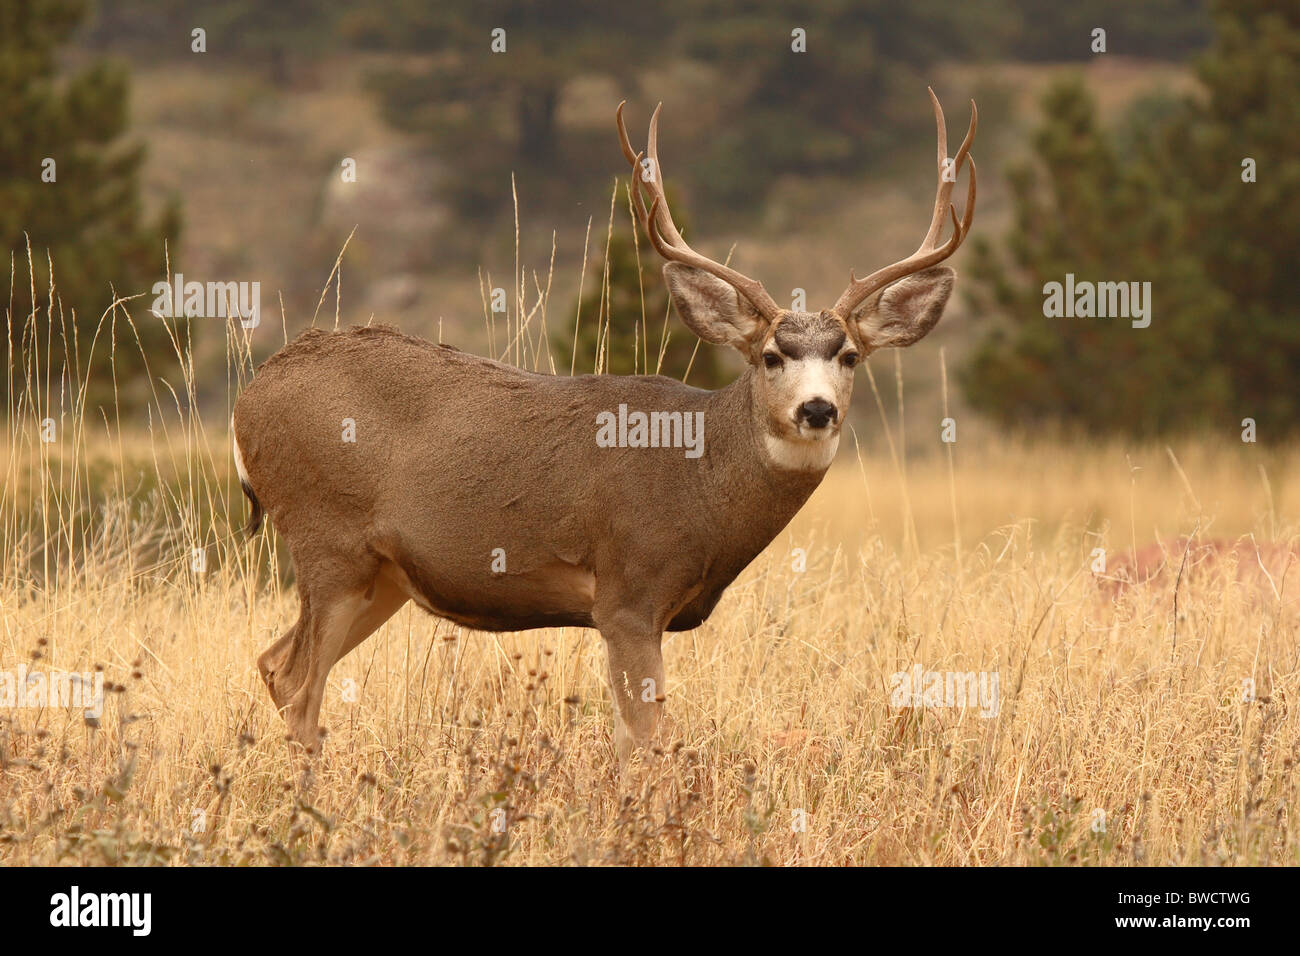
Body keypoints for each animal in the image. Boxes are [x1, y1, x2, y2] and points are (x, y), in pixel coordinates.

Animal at [231, 90, 976, 764]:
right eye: (771, 355)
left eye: (848, 356)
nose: (816, 409)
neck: (702, 476)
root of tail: (249, 398)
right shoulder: (628, 592)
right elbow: (644, 742)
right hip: (327, 536)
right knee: (296, 680)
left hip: (381, 575)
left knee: (272, 663)